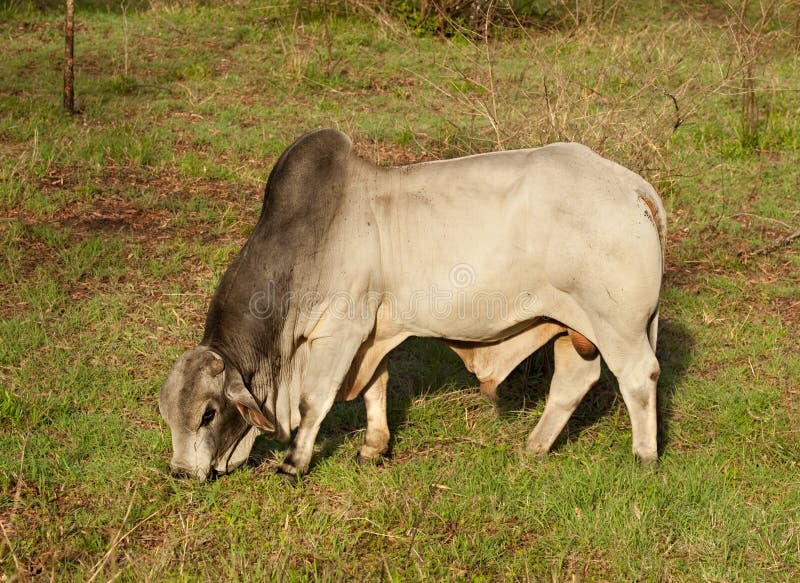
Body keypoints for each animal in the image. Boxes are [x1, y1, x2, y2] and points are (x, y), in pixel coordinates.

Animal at [158, 129, 666, 481]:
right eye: (166, 414)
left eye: (207, 413)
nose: (181, 473)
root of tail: (630, 184)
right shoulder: (372, 335)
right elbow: (375, 387)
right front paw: (373, 447)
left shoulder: (341, 330)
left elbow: (314, 400)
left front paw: (294, 462)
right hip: (570, 325)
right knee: (574, 380)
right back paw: (533, 447)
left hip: (617, 325)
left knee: (639, 377)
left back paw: (644, 456)